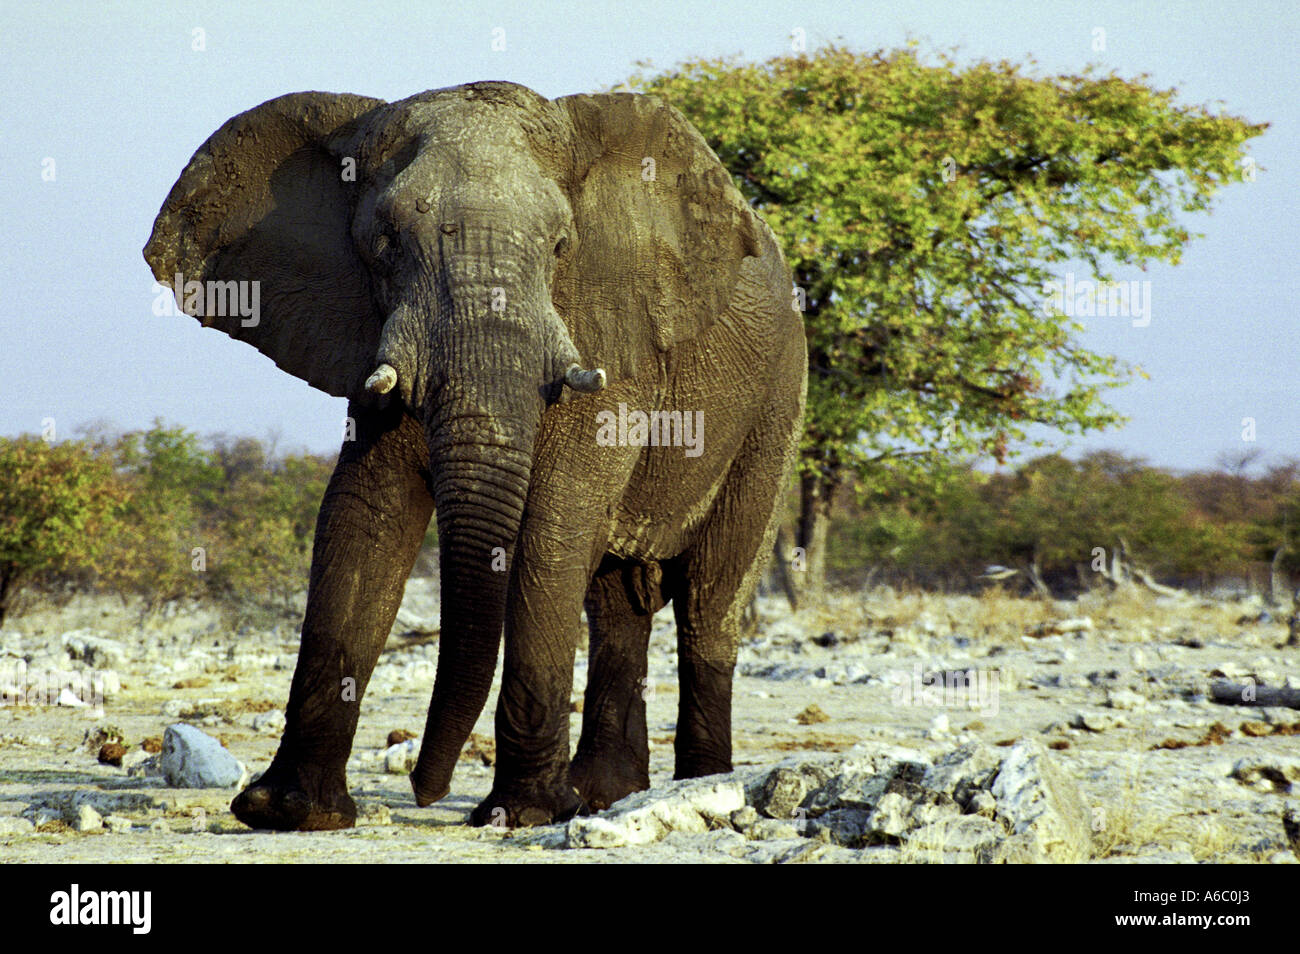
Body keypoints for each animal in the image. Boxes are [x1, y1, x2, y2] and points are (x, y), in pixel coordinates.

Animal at [143, 80, 807, 830]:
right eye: (385, 242)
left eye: (560, 246)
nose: (423, 791)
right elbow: (364, 514)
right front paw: (287, 811)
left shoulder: (614, 340)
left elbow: (556, 518)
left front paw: (523, 815)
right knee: (615, 610)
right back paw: (606, 797)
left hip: (778, 398)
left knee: (710, 601)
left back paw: (700, 786)